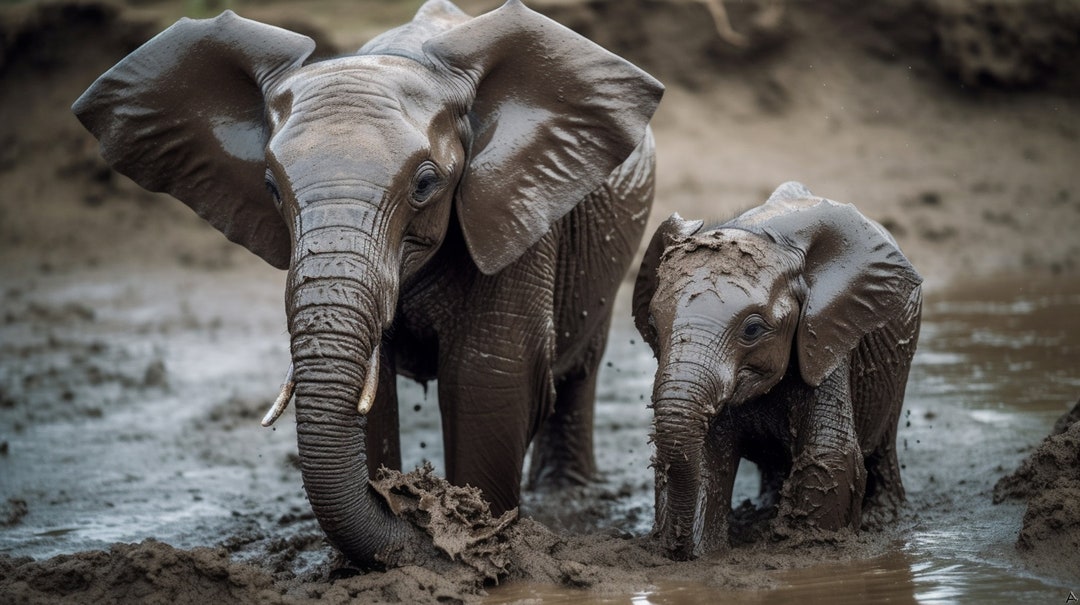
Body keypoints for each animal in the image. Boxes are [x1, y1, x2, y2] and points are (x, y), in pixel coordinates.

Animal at [72, 0, 663, 568]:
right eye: (270, 187)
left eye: (426, 183)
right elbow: (374, 404)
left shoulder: (510, 213)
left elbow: (488, 376)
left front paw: (478, 544)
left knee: (579, 367)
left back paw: (566, 496)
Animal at [632, 182, 922, 560]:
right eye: (653, 324)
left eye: (753, 329)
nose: (675, 547)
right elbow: (708, 459)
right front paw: (700, 554)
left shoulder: (826, 336)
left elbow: (830, 454)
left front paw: (802, 549)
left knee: (884, 447)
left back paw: (884, 518)